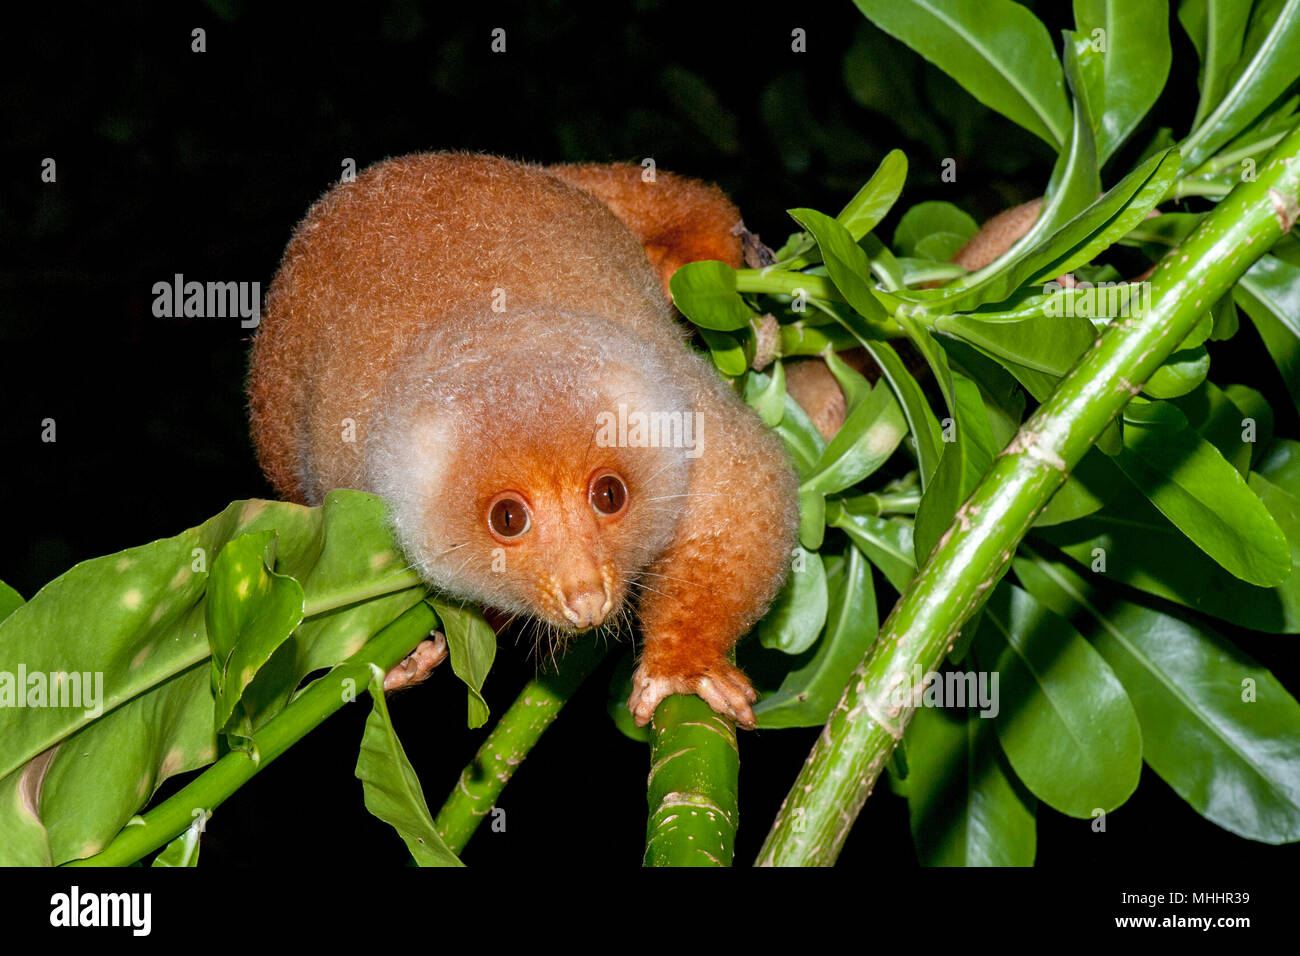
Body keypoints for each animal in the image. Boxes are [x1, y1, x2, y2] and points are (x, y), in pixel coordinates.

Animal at [248, 153, 799, 729]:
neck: (498, 337)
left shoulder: (672, 391)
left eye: (609, 495)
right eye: (508, 519)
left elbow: (742, 486)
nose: (585, 595)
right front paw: (405, 656)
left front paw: (684, 662)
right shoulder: (349, 484)